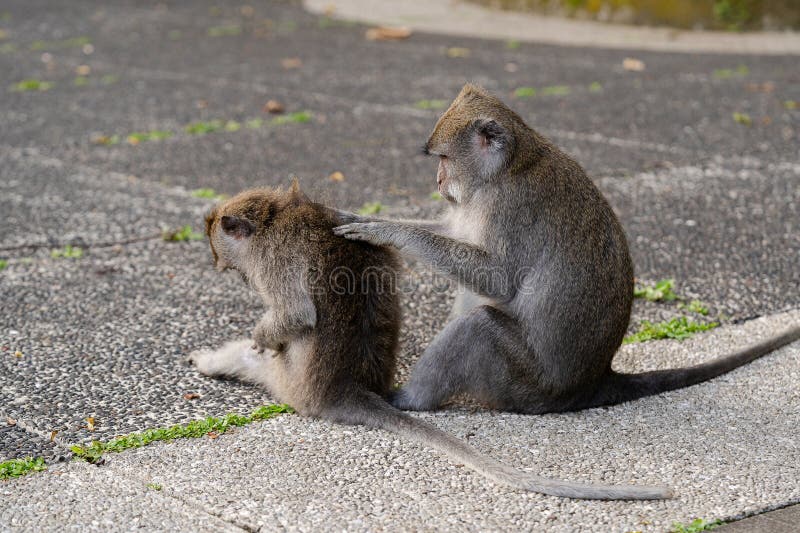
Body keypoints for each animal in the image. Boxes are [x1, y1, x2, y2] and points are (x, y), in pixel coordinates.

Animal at [188, 184, 672, 500]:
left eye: (226, 263)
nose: (230, 275)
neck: (275, 216)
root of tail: (343, 388)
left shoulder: (275, 259)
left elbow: (295, 316)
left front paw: (262, 334)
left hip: (287, 384)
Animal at [333, 83, 800, 415]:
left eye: (444, 159)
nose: (437, 181)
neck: (504, 170)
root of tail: (593, 380)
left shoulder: (511, 208)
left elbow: (498, 280)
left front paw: (387, 231)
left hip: (524, 382)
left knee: (479, 326)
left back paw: (410, 399)